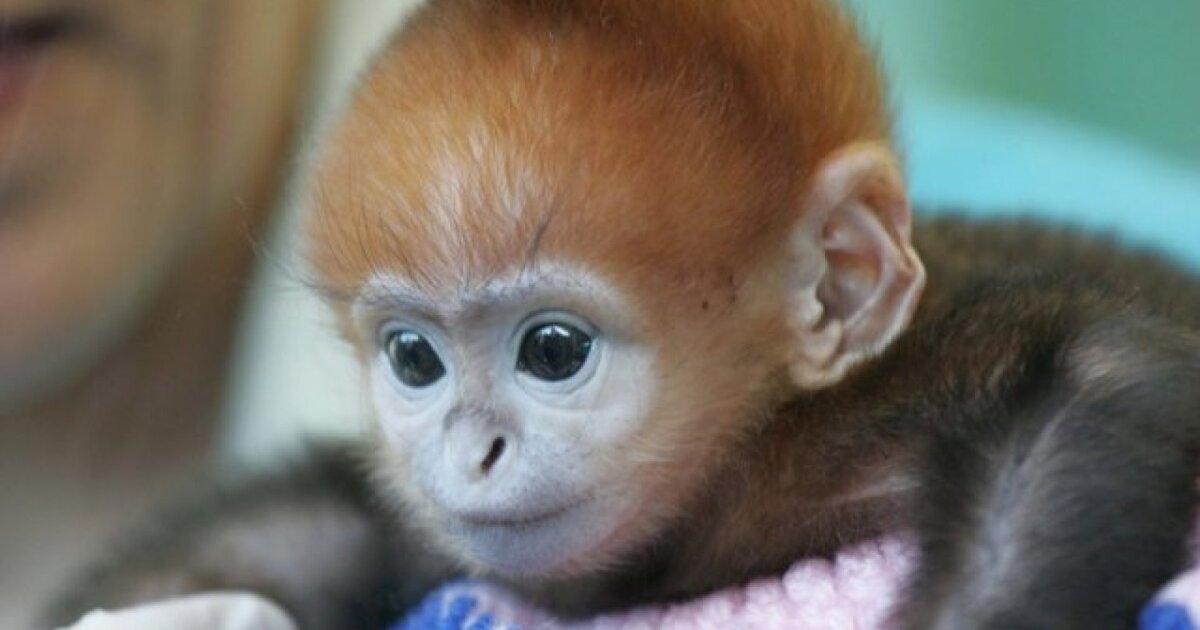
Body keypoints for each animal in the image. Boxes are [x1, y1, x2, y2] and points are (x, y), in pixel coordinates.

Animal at [44, 0, 1200, 629]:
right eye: (414, 359)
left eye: (553, 350)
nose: (471, 453)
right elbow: (316, 525)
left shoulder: (873, 413)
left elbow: (1106, 374)